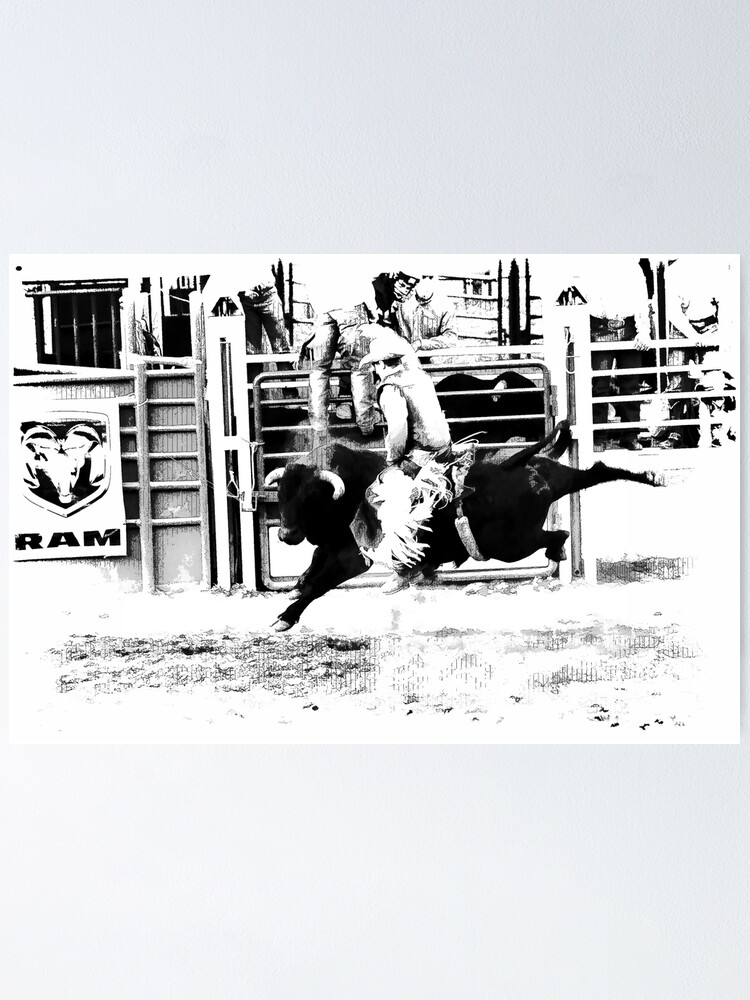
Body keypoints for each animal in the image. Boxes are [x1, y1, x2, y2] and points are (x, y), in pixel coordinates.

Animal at [263, 421, 665, 631]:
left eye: (309, 497)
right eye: (281, 495)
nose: (284, 534)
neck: (356, 489)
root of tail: (517, 466)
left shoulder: (354, 555)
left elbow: (320, 583)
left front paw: (285, 617)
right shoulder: (329, 547)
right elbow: (310, 574)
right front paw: (292, 596)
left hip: (509, 544)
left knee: (560, 530)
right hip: (549, 487)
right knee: (594, 473)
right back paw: (648, 476)